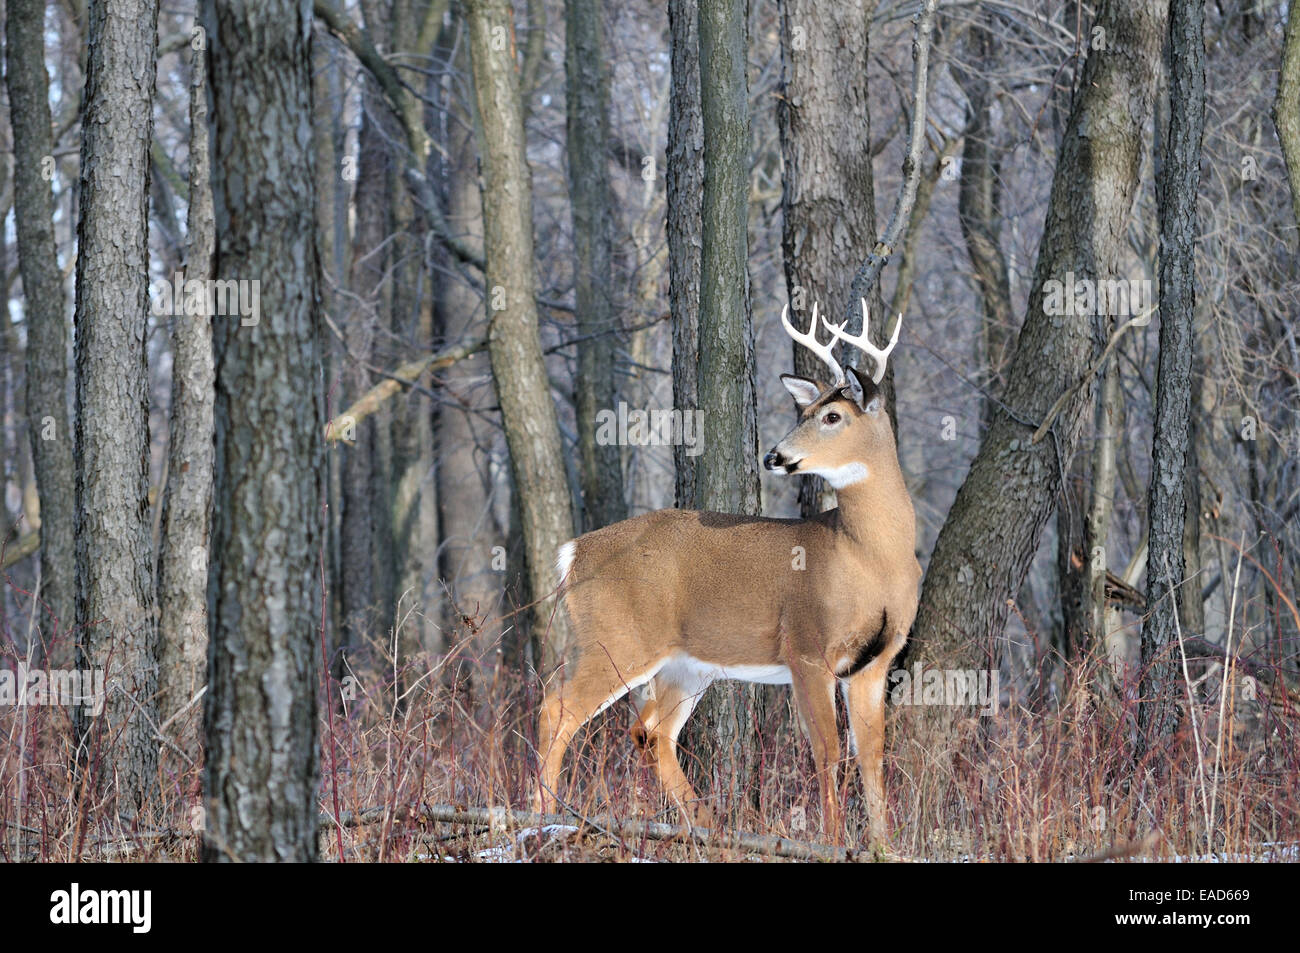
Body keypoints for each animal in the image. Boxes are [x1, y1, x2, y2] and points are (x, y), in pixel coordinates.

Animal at [532, 299, 921, 846]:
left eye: (832, 416)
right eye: (804, 413)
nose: (775, 456)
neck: (868, 558)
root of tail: (573, 553)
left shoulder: (875, 661)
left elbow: (872, 758)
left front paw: (881, 846)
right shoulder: (806, 646)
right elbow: (827, 751)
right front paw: (833, 841)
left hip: (684, 664)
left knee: (651, 733)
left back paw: (704, 826)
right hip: (617, 638)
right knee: (558, 710)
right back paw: (541, 819)